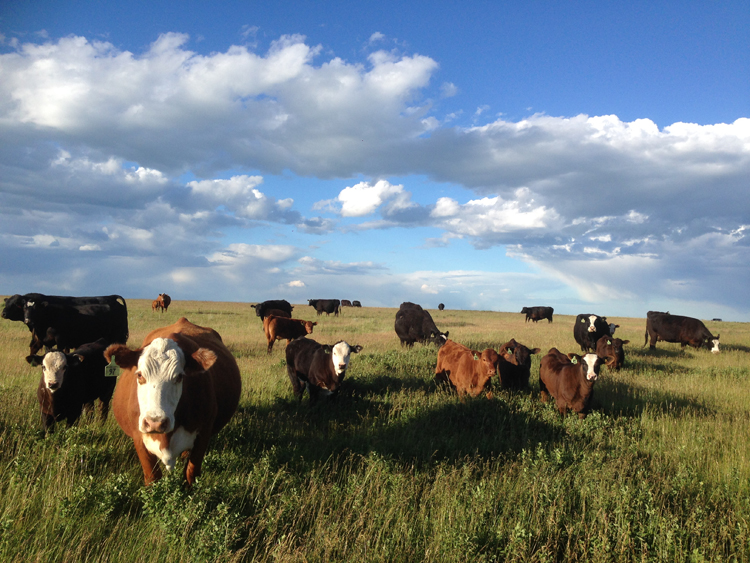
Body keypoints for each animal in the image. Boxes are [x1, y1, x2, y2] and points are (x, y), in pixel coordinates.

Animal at [104, 317, 242, 485]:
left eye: (179, 376)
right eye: (140, 375)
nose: (155, 422)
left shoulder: (204, 434)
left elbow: (190, 474)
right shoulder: (139, 437)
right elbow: (152, 477)